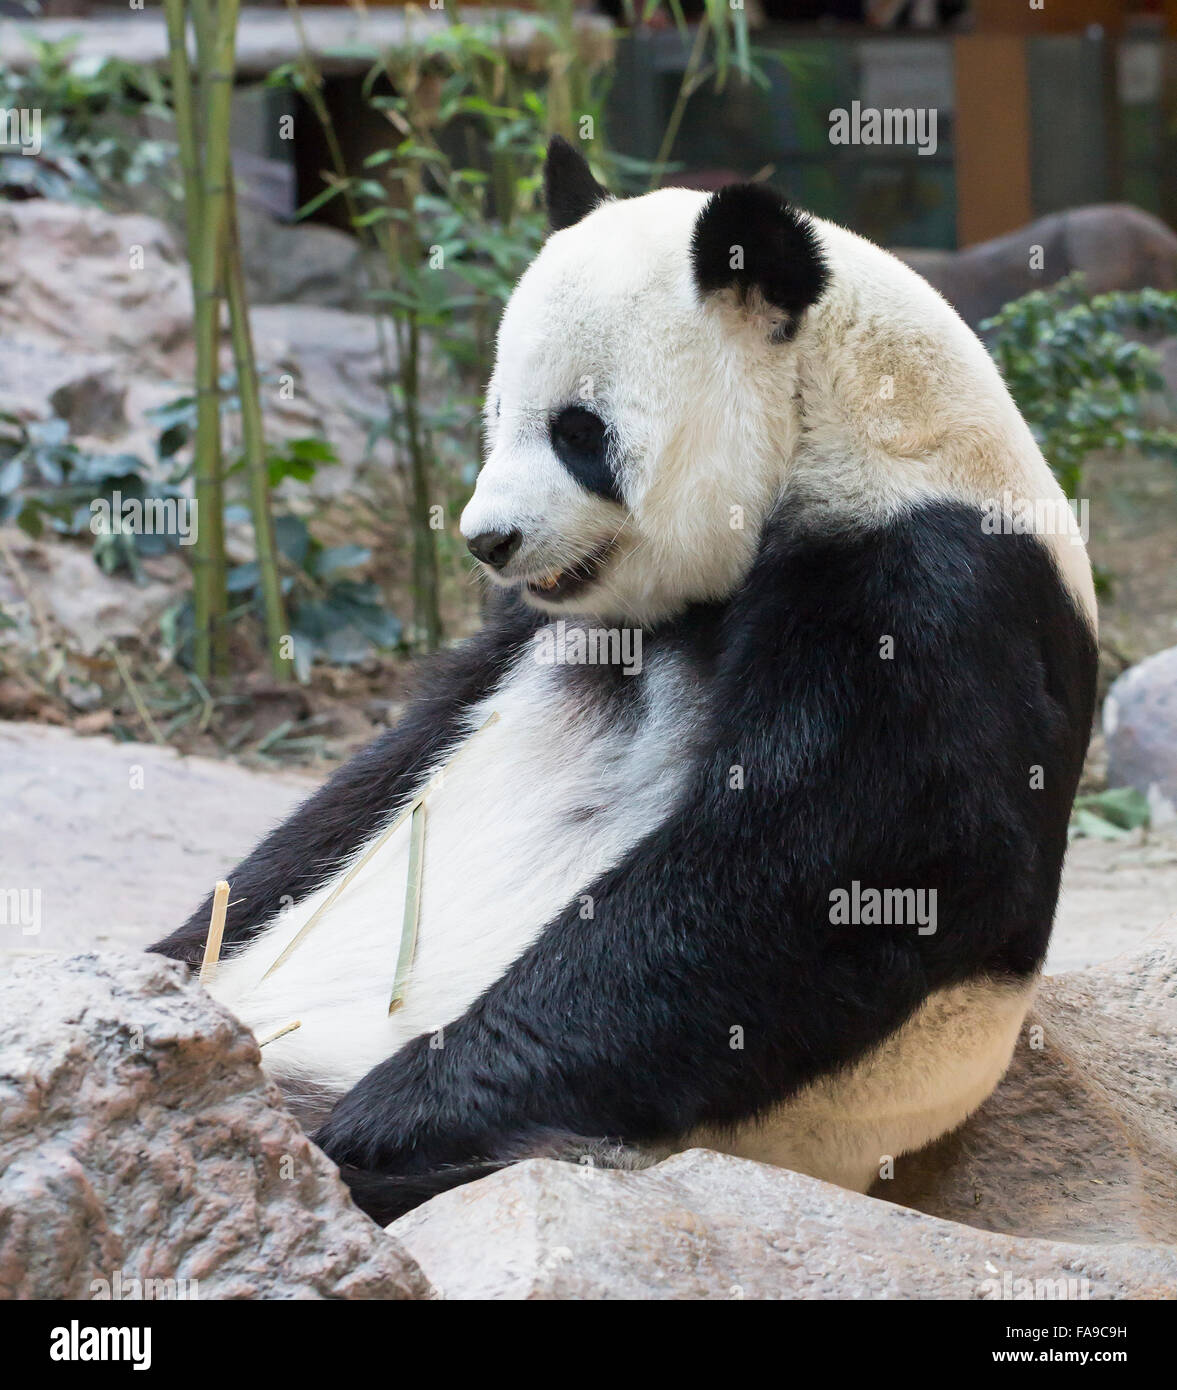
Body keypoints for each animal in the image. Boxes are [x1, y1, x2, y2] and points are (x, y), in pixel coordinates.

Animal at [153, 137, 1098, 1224]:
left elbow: (832, 873)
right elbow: (374, 783)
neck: (847, 418)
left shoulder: (931, 587)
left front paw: (387, 1117)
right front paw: (178, 957)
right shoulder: (534, 633)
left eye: (578, 431)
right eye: (497, 415)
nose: (488, 540)